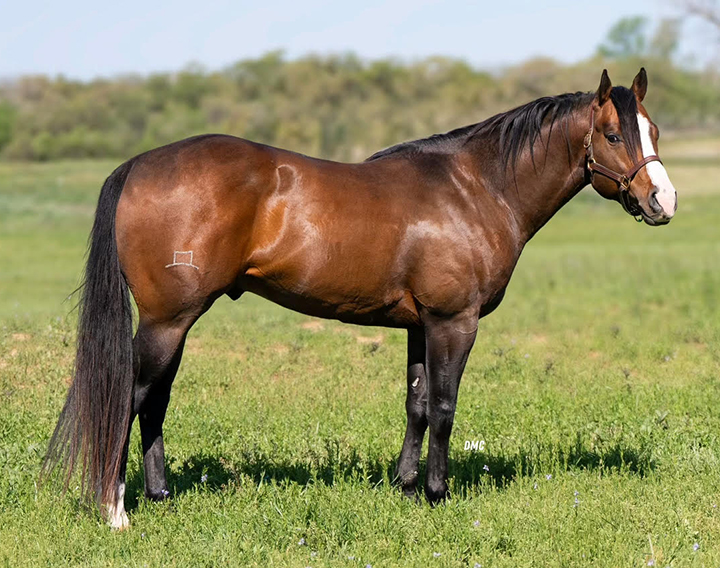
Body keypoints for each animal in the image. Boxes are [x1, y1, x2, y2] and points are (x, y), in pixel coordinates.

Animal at [43, 68, 677, 528]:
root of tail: (138, 164)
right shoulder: (454, 322)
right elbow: (444, 407)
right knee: (130, 397)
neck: (476, 188)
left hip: (173, 324)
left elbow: (416, 405)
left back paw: (161, 496)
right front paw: (438, 495)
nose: (663, 201)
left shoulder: (420, 325)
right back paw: (115, 510)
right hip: (167, 320)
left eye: (655, 132)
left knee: (154, 402)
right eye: (614, 135)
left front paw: (405, 488)